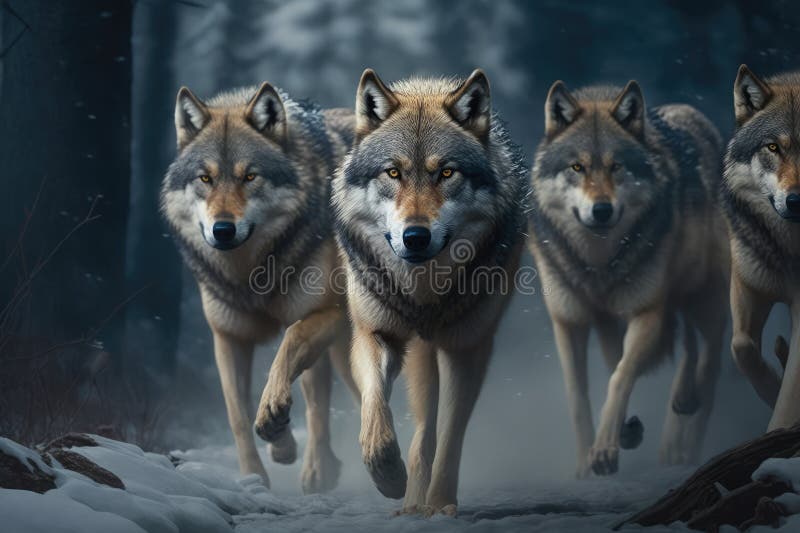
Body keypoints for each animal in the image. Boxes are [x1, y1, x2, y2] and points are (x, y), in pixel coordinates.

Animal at [160, 82, 358, 493]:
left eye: (250, 177)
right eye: (205, 178)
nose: (222, 229)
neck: (251, 275)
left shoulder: (325, 312)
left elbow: (289, 350)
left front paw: (276, 421)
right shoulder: (229, 336)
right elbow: (238, 414)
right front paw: (258, 472)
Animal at [330, 69, 528, 515]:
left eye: (447, 173)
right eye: (393, 173)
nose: (416, 237)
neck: (422, 292)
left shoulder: (466, 348)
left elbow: (452, 436)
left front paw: (440, 503)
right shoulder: (374, 334)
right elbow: (375, 409)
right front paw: (387, 475)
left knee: (432, 431)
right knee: (422, 427)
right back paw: (408, 499)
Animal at [528, 80, 729, 477]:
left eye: (616, 167)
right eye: (577, 167)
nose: (601, 209)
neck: (598, 265)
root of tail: (694, 114)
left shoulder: (646, 311)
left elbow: (620, 376)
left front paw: (605, 450)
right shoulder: (570, 321)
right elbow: (583, 392)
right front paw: (587, 463)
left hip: (701, 297)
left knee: (710, 359)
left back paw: (686, 442)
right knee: (685, 345)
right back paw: (677, 413)